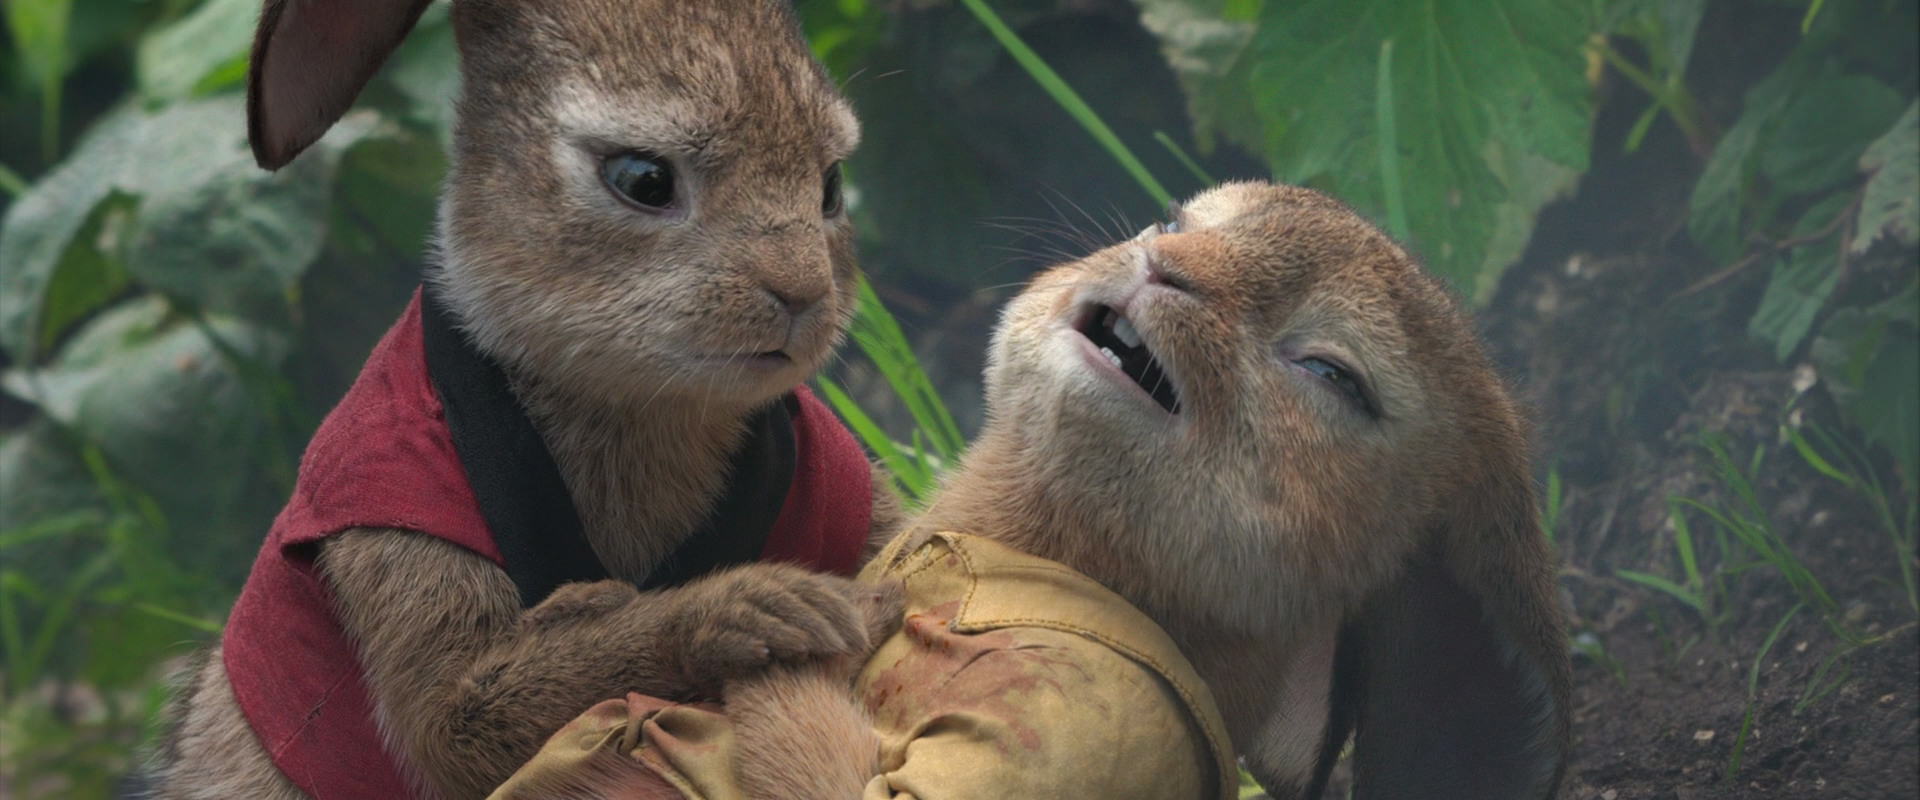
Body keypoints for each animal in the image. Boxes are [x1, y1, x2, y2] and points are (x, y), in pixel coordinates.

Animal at [145, 1, 905, 798]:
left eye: (831, 185)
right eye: (642, 178)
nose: (802, 293)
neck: (634, 403)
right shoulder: (392, 505)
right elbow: (459, 719)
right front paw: (791, 607)